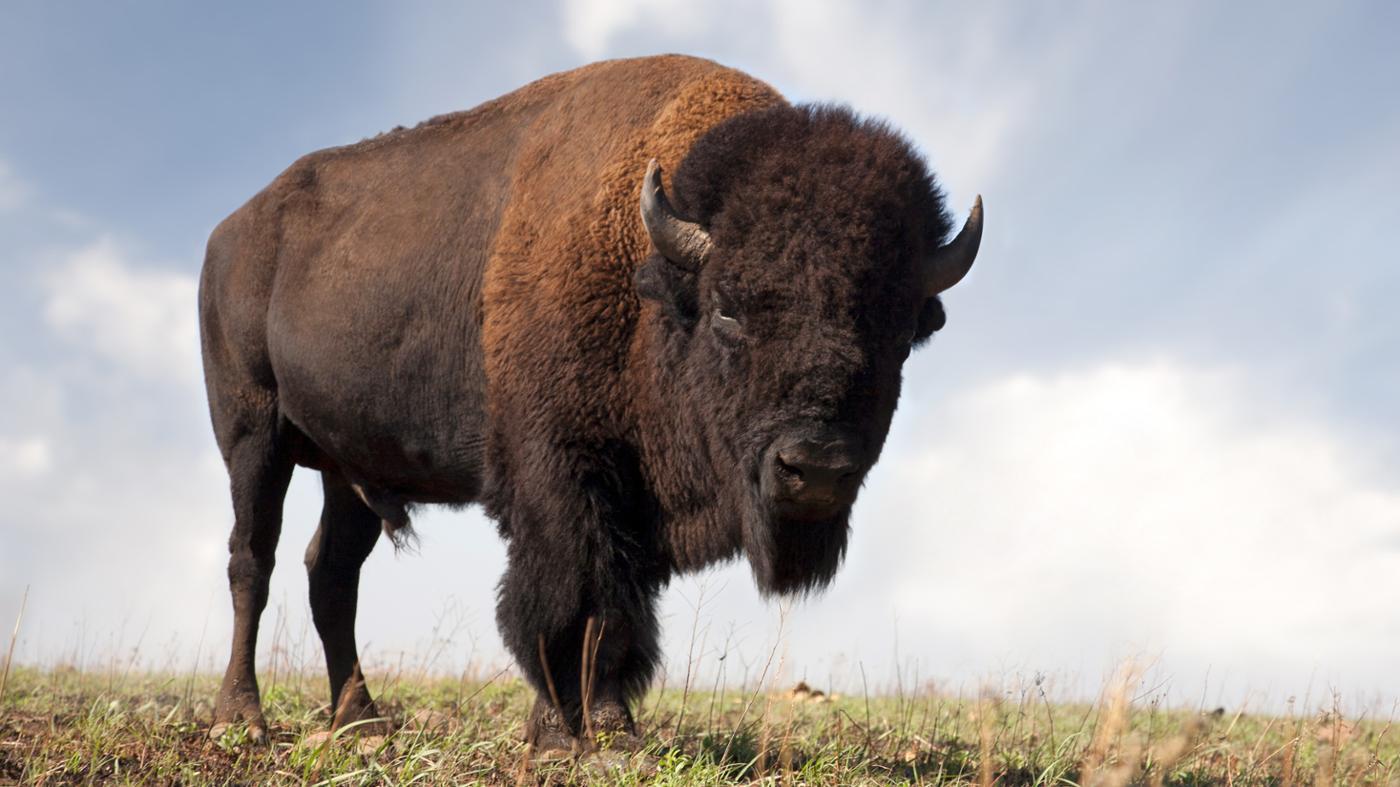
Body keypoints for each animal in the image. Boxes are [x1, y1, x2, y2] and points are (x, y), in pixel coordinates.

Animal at [199, 54, 982, 756]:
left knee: (331, 571)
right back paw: (242, 719)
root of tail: (229, 233)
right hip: (252, 436)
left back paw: (362, 721)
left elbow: (618, 610)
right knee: (252, 560)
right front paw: (557, 734)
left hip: (350, 467)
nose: (814, 467)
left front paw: (610, 726)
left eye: (896, 330)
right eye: (728, 309)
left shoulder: (637, 500)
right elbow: (568, 596)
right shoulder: (560, 474)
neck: (652, 286)